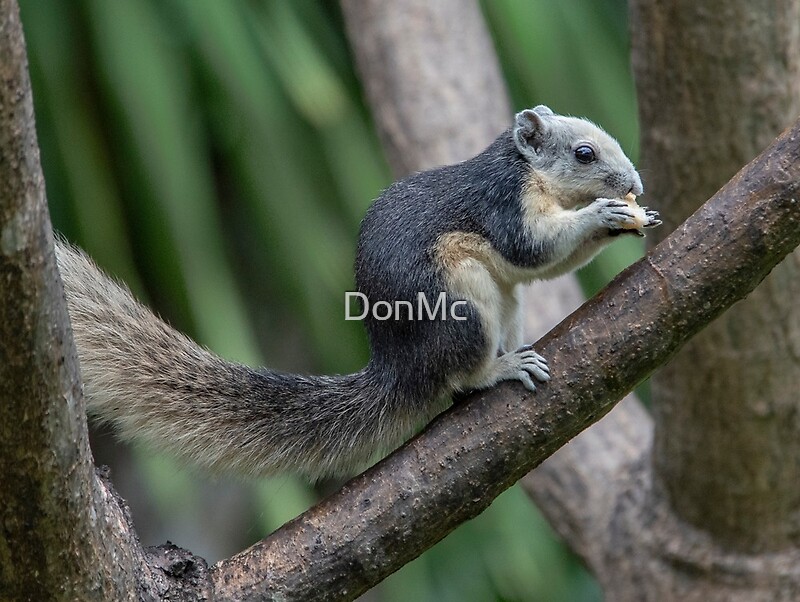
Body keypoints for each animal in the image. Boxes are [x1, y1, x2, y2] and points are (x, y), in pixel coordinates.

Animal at [55, 105, 660, 480]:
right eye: (584, 154)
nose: (637, 183)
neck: (524, 170)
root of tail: (398, 367)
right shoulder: (503, 203)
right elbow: (534, 249)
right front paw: (604, 215)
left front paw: (639, 217)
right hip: (461, 306)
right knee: (461, 376)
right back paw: (501, 368)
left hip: (505, 306)